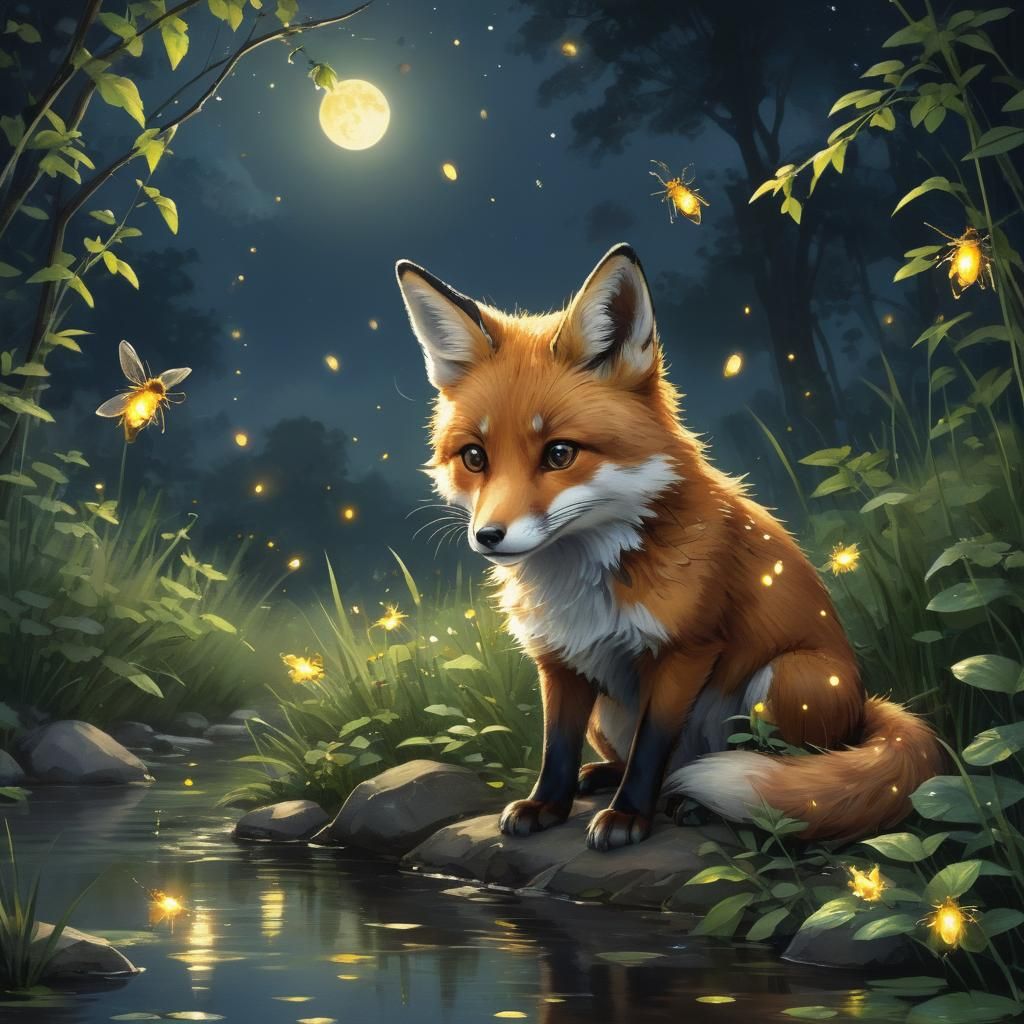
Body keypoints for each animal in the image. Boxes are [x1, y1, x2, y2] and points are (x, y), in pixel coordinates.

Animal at [395, 242, 943, 851]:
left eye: (560, 453)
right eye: (475, 458)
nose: (488, 536)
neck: (588, 582)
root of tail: (866, 707)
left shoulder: (687, 650)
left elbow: (651, 748)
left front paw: (628, 816)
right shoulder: (559, 659)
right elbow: (556, 746)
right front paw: (547, 805)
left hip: (788, 680)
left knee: (773, 769)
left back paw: (695, 802)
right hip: (607, 711)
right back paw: (602, 777)